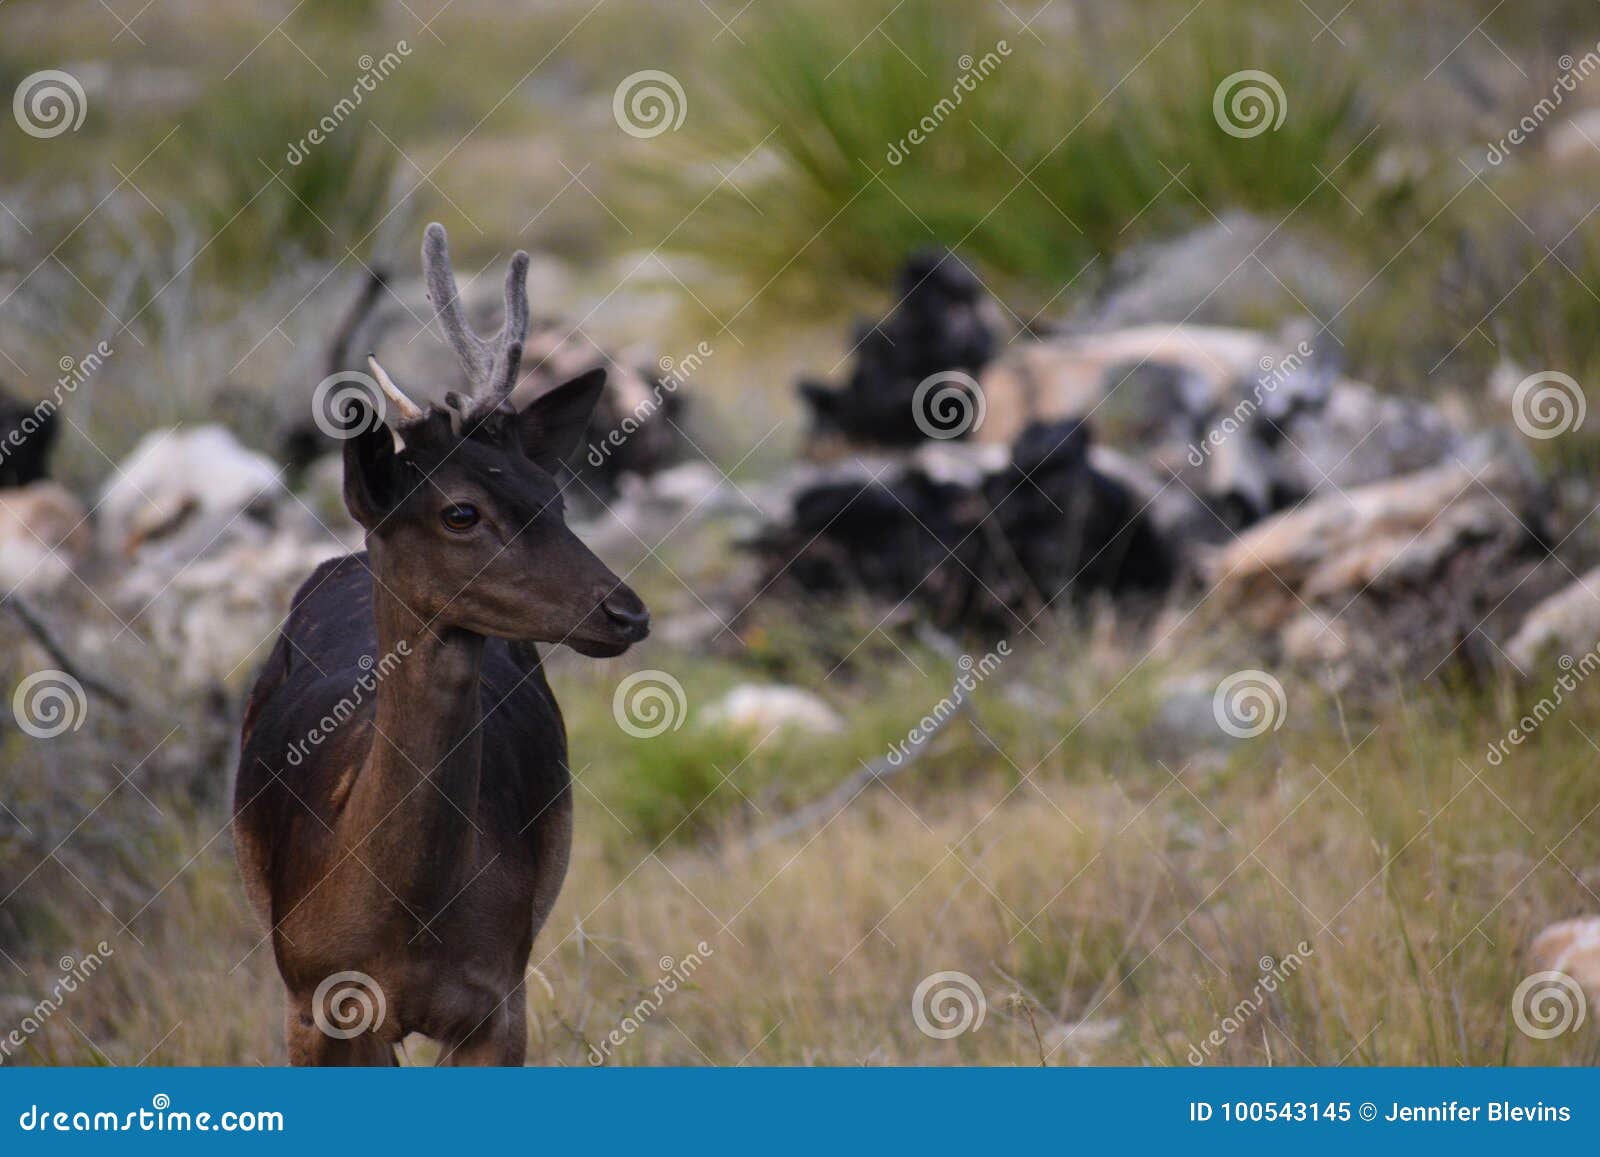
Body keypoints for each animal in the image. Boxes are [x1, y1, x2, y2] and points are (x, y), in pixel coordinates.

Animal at [233, 223, 650, 1065]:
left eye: (554, 498)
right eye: (461, 512)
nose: (626, 612)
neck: (405, 927)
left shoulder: (501, 999)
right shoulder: (313, 999)